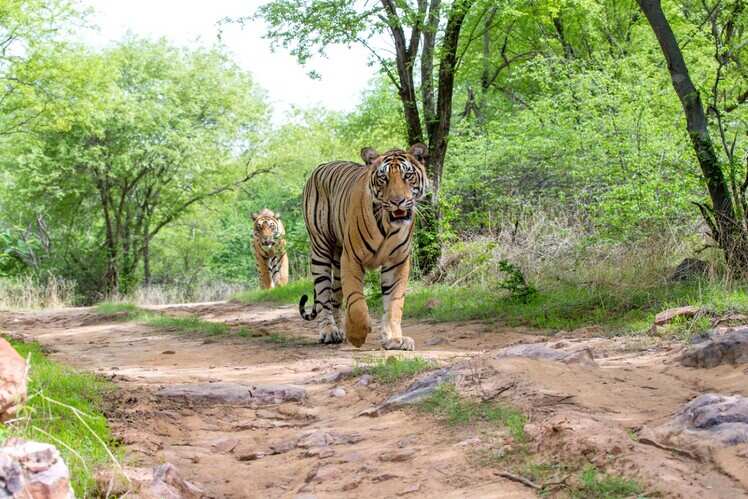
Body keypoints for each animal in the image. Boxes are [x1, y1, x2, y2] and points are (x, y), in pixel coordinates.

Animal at [299, 143, 428, 351]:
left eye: (408, 175)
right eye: (383, 178)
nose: (397, 201)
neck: (387, 224)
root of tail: (323, 165)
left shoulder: (397, 262)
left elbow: (394, 303)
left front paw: (394, 339)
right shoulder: (352, 258)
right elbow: (356, 302)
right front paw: (358, 334)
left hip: (338, 259)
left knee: (335, 297)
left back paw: (340, 331)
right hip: (320, 249)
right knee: (324, 296)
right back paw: (329, 331)